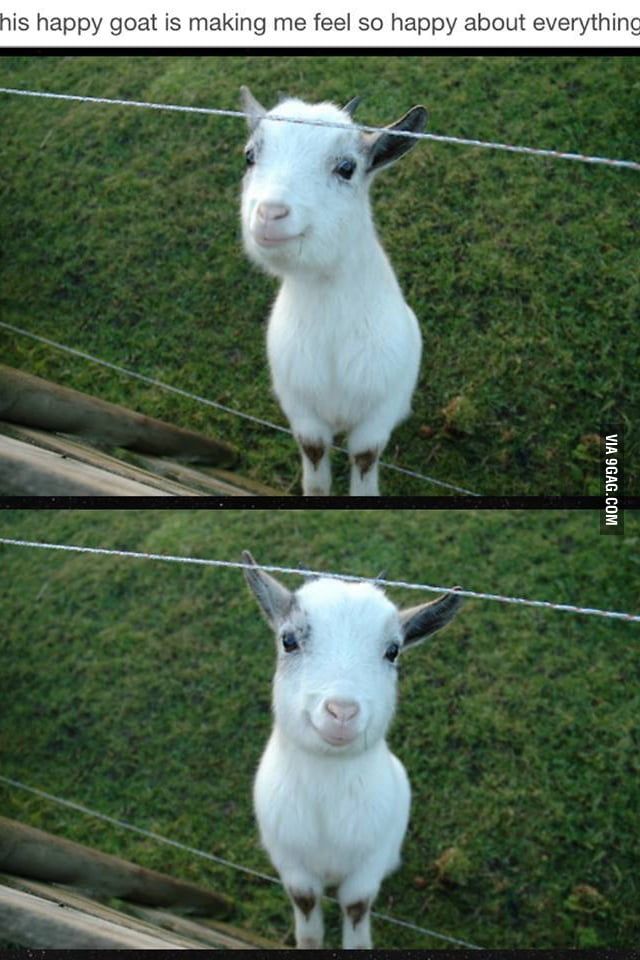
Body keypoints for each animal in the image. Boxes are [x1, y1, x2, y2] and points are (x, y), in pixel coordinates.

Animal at [240, 88, 428, 496]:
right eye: (249, 156)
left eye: (346, 168)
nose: (270, 214)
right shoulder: (300, 407)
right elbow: (314, 455)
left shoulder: (379, 411)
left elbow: (365, 456)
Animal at [243, 551, 462, 948]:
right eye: (288, 640)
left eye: (393, 651)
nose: (342, 712)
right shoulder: (291, 864)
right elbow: (306, 908)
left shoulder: (368, 865)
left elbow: (356, 907)